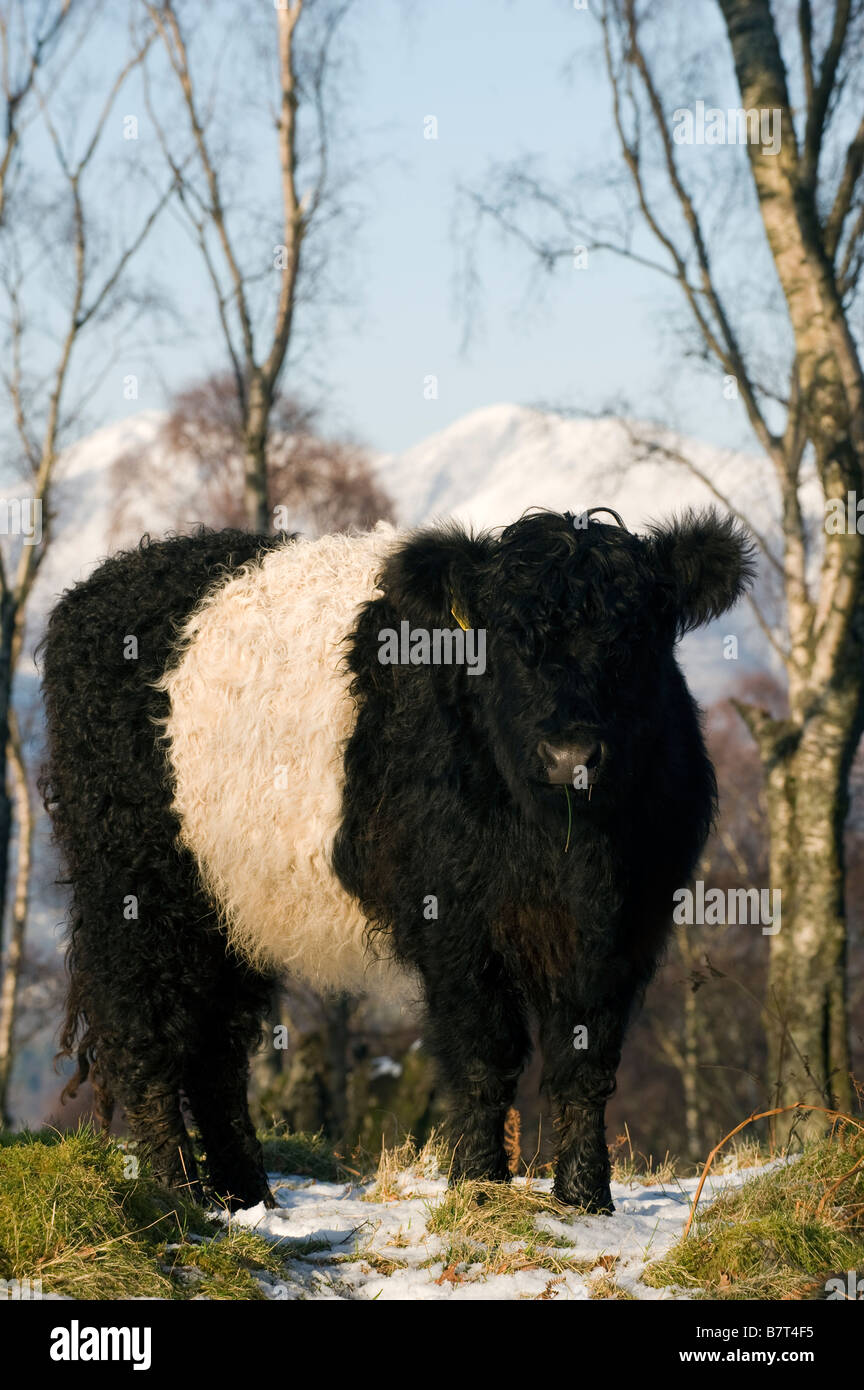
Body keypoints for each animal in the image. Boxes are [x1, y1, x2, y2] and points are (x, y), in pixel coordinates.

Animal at [40, 507, 754, 1212]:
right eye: (505, 639)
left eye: (633, 638)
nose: (570, 756)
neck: (561, 845)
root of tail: (107, 583)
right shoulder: (455, 923)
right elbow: (484, 1055)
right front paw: (479, 1191)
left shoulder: (624, 926)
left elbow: (586, 1061)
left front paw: (586, 1202)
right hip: (135, 886)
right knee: (147, 1034)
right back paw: (176, 1194)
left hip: (229, 904)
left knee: (217, 1049)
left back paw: (247, 1198)